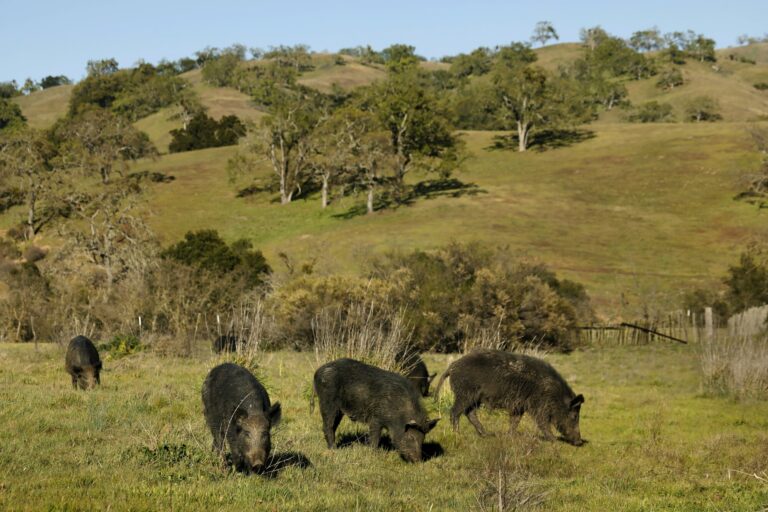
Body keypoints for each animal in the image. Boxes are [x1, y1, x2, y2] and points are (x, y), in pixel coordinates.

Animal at [434, 349, 584, 446]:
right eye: (575, 416)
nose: (579, 442)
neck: (553, 394)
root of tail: (452, 366)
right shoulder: (538, 405)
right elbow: (542, 422)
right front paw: (554, 440)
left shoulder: (519, 406)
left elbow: (515, 421)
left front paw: (509, 436)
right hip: (464, 394)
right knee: (455, 412)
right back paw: (457, 434)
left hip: (474, 398)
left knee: (470, 413)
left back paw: (487, 434)